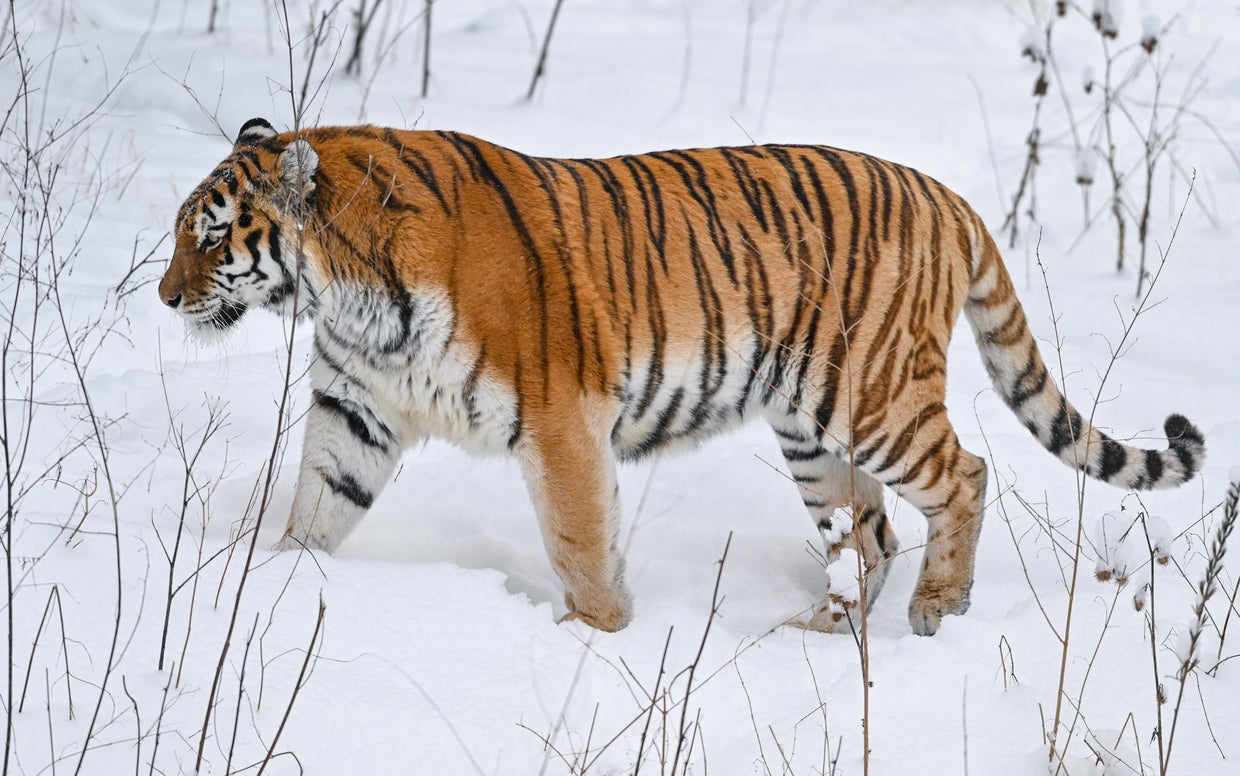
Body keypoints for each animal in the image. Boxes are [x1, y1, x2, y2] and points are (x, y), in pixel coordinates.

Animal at [158, 117, 1205, 636]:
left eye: (210, 236)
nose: (165, 298)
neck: (346, 296)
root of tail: (946, 195)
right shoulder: (356, 410)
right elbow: (313, 512)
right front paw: (275, 585)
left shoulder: (560, 419)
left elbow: (580, 540)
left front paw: (598, 637)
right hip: (810, 431)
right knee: (870, 533)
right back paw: (824, 632)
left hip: (871, 398)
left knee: (966, 476)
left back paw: (937, 607)